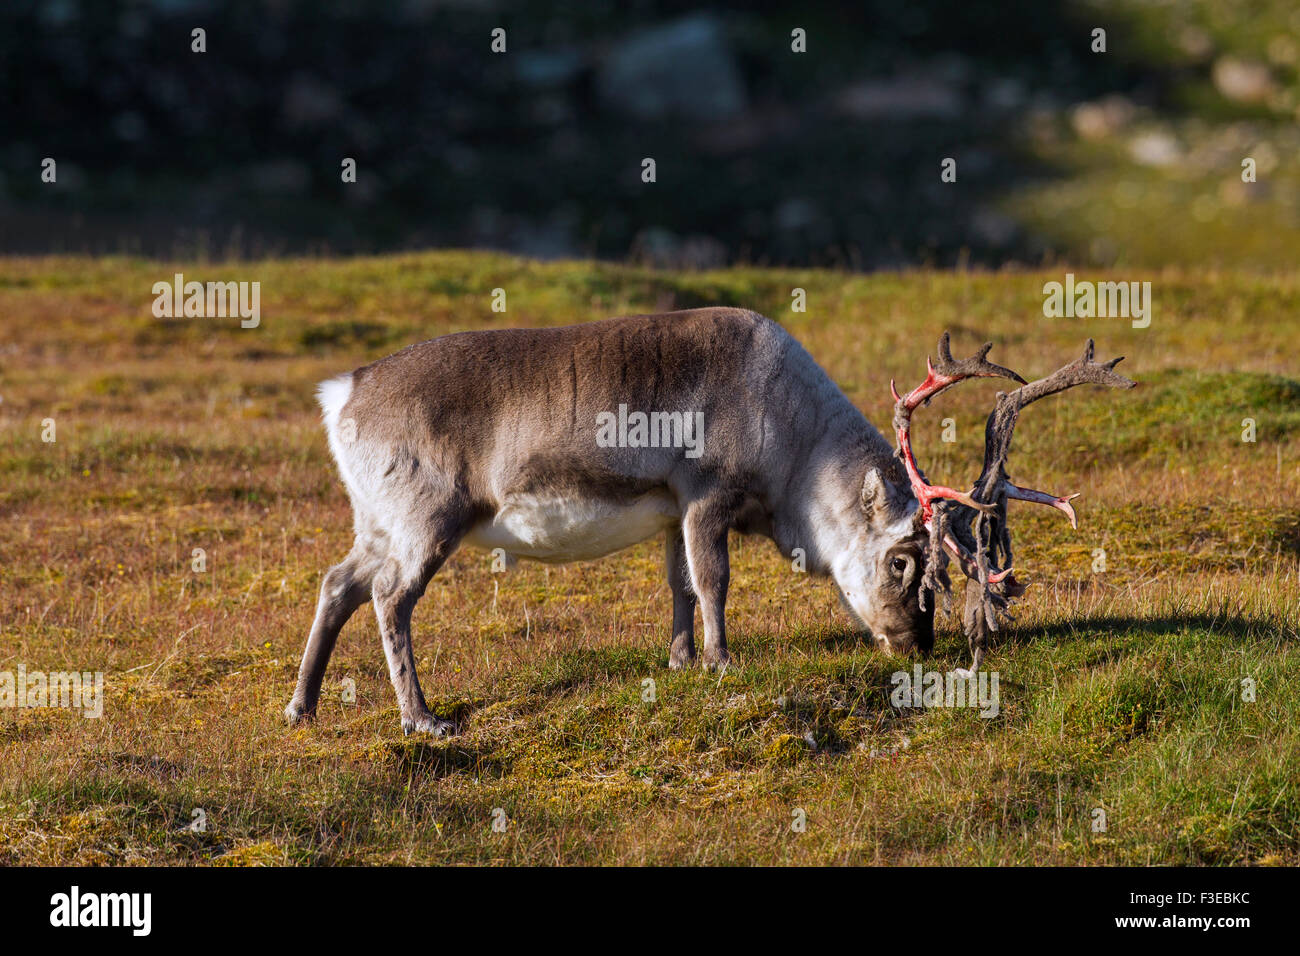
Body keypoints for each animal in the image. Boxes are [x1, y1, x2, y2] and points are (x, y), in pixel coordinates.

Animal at [284, 308, 1135, 735]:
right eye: (904, 561)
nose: (913, 645)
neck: (794, 443)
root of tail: (341, 393)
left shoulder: (669, 511)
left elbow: (679, 588)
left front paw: (680, 660)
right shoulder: (705, 495)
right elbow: (715, 581)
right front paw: (723, 662)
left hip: (378, 525)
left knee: (337, 583)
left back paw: (304, 706)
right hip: (428, 521)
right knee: (390, 599)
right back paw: (422, 719)